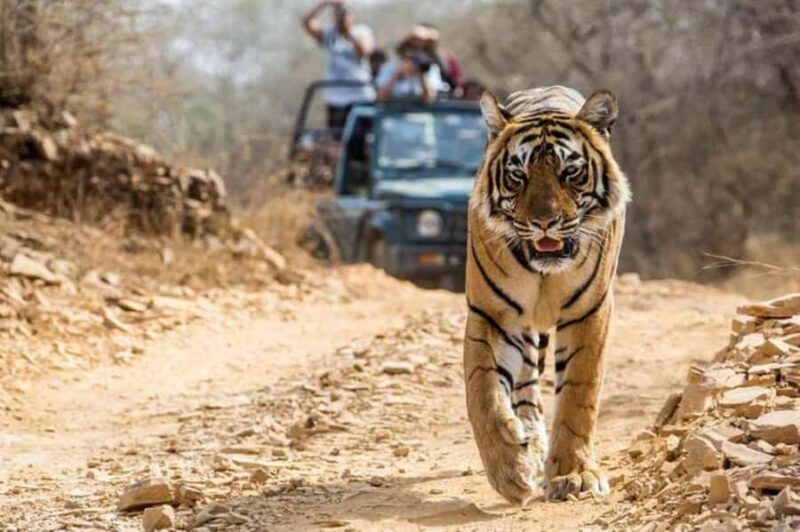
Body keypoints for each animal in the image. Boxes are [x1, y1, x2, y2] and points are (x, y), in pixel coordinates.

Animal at [463, 86, 631, 504]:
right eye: (517, 176)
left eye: (569, 172)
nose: (543, 222)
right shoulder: (492, 314)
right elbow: (483, 393)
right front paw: (509, 470)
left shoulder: (590, 312)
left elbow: (578, 397)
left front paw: (575, 475)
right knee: (525, 389)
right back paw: (530, 444)